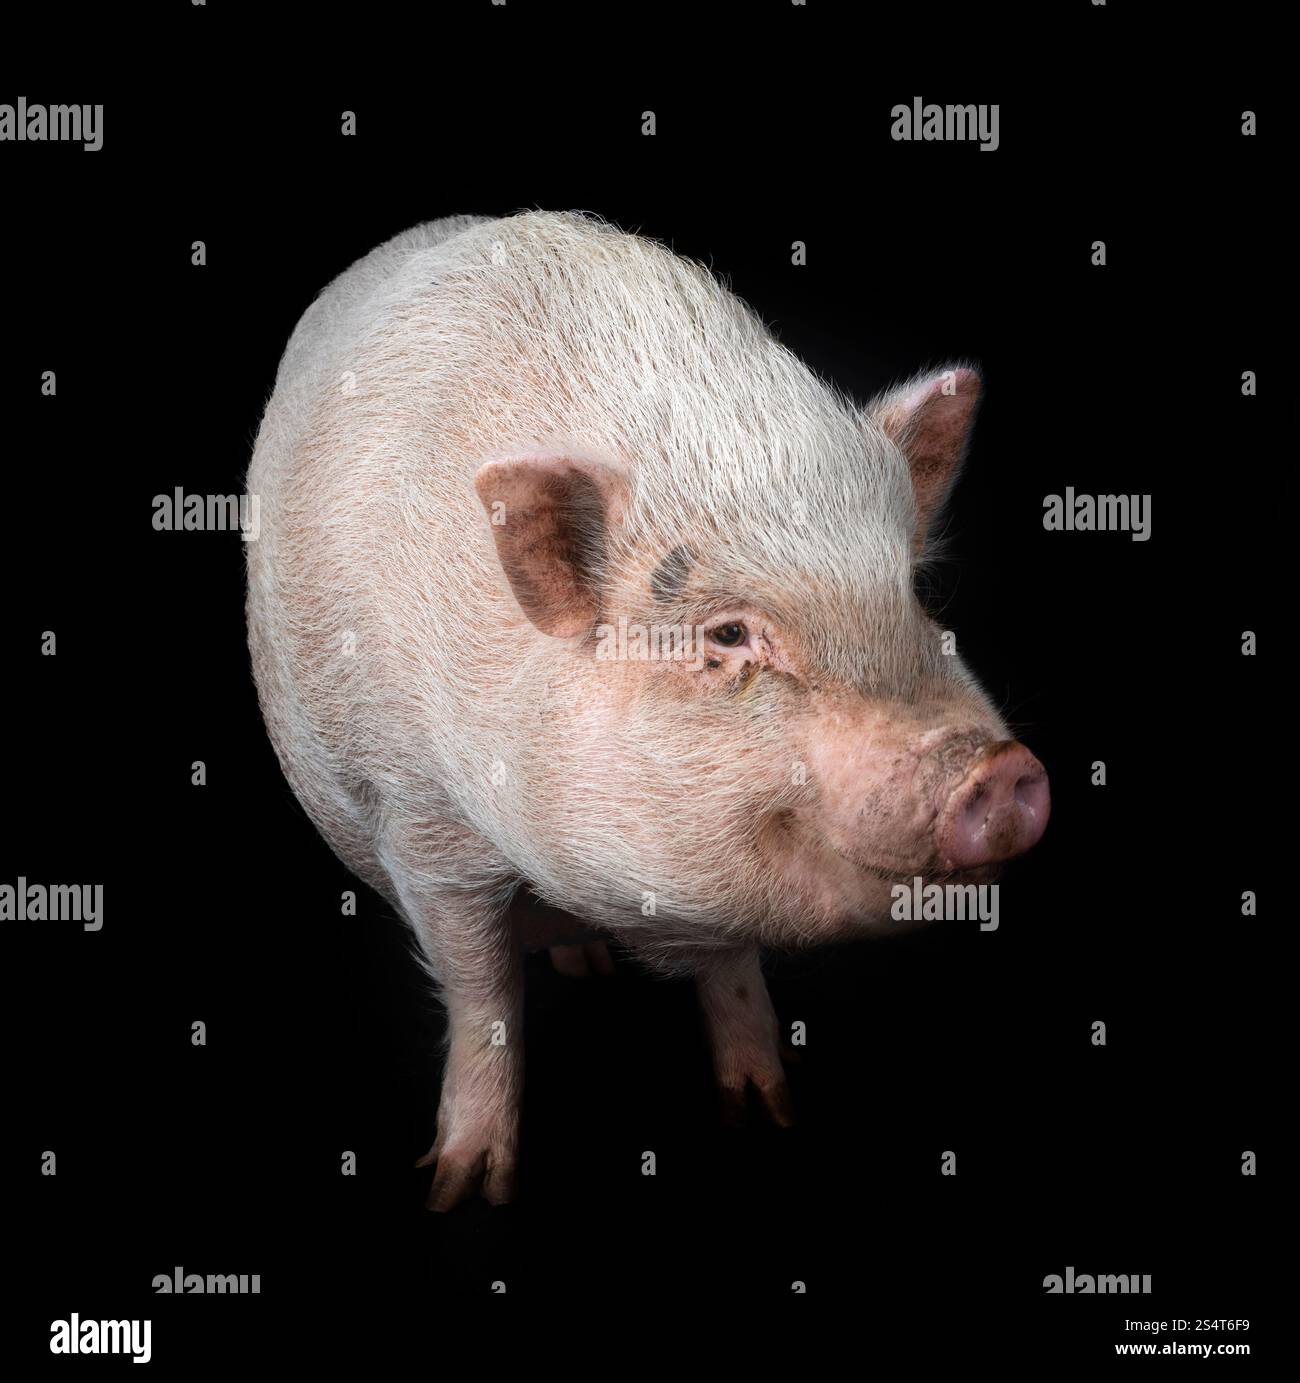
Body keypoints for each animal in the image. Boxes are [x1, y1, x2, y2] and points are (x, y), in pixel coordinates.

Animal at [245, 211, 1049, 1210]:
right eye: (731, 634)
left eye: (914, 593)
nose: (999, 768)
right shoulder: (424, 826)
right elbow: (481, 994)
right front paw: (464, 1189)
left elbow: (732, 964)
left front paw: (770, 1112)